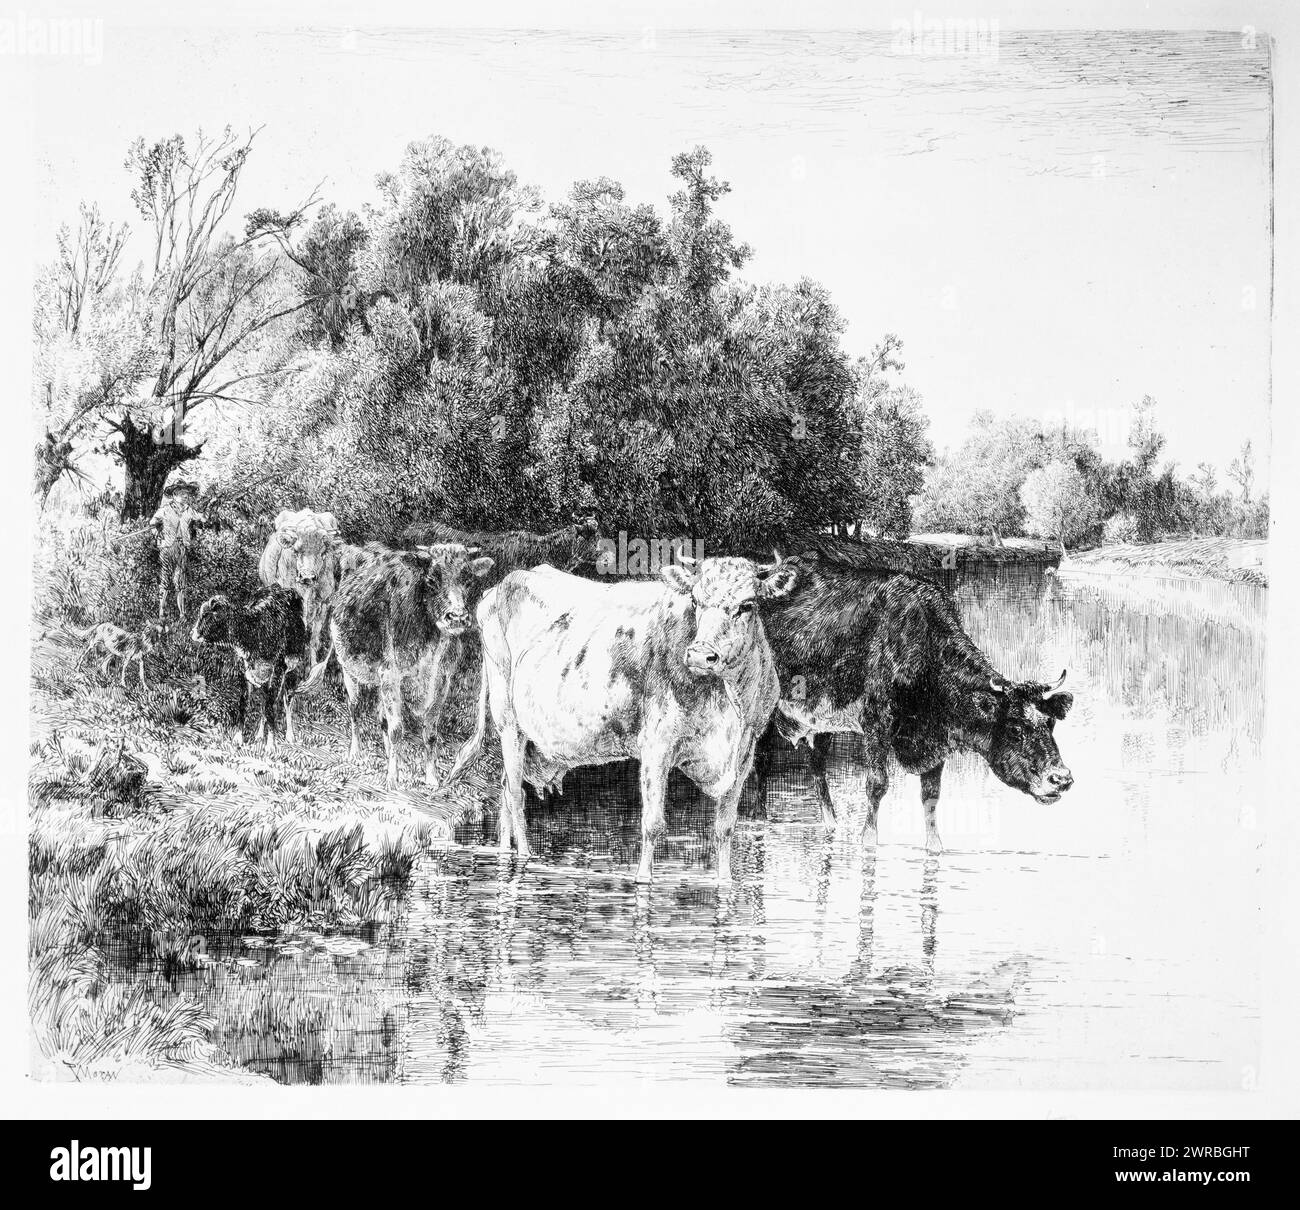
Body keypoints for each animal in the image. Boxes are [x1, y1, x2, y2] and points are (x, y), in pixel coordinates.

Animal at [191, 586, 307, 753]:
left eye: (207, 615)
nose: (193, 633)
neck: (255, 631)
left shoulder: (277, 671)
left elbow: (272, 707)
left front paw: (270, 745)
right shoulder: (245, 672)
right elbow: (245, 704)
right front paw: (238, 739)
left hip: (292, 672)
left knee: (287, 700)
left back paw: (289, 736)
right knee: (265, 702)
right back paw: (258, 735)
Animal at [258, 509, 343, 666]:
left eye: (323, 552)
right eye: (296, 551)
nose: (307, 577)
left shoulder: (324, 604)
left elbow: (314, 639)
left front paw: (312, 666)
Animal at [318, 542, 495, 790]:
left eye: (468, 579)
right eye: (431, 580)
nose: (457, 617)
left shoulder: (442, 680)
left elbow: (430, 732)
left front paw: (432, 778)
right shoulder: (390, 675)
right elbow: (397, 729)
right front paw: (393, 780)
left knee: (381, 717)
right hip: (349, 669)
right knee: (355, 709)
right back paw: (356, 753)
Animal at [444, 553, 799, 883]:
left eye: (747, 605)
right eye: (696, 601)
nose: (700, 655)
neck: (730, 707)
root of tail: (504, 583)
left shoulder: (745, 753)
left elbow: (725, 827)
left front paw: (725, 883)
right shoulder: (657, 744)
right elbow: (653, 823)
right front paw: (643, 881)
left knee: (505, 788)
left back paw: (506, 853)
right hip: (507, 718)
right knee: (516, 794)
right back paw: (526, 857)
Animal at [752, 559, 1074, 852]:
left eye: (1050, 724)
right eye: (1015, 729)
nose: (1060, 779)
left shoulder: (935, 740)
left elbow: (931, 795)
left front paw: (935, 847)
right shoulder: (877, 723)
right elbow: (877, 783)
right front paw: (868, 841)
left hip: (822, 722)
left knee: (816, 766)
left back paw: (831, 825)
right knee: (760, 759)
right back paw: (758, 820)